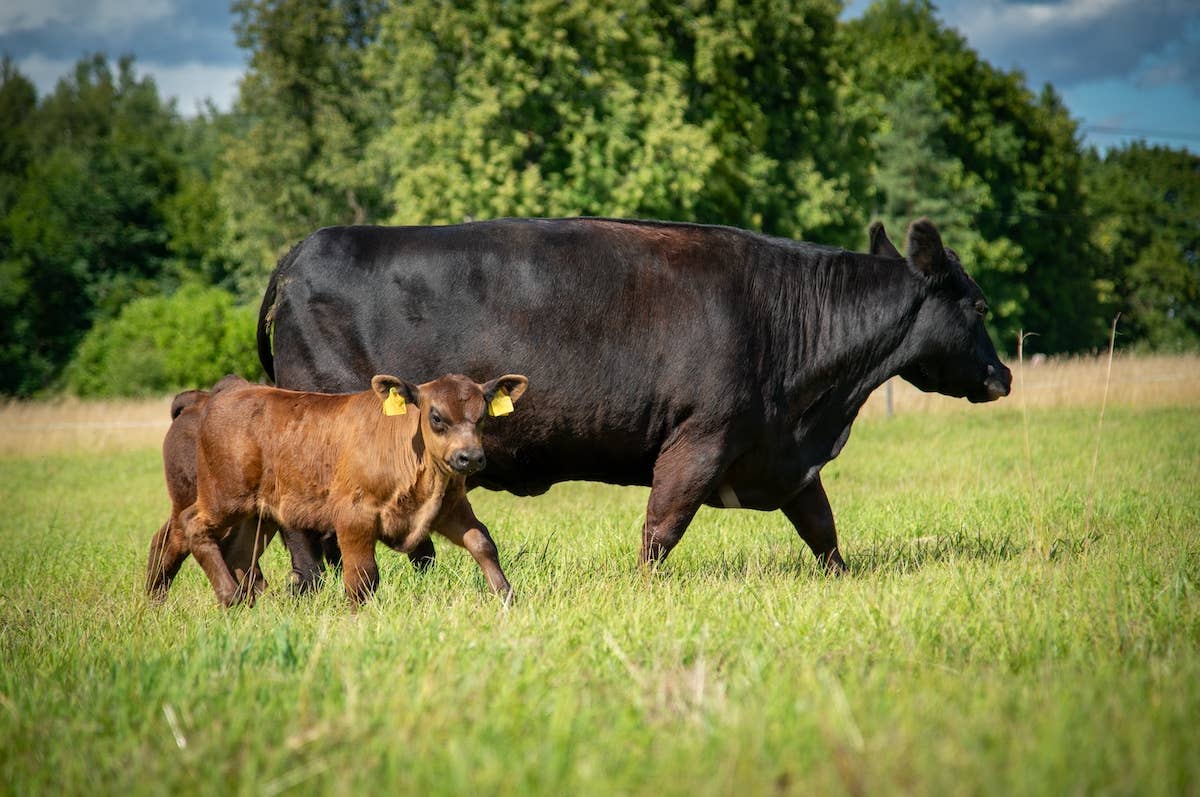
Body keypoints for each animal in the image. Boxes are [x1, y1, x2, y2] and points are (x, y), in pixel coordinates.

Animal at [181, 372, 528, 606]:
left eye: (481, 417)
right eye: (437, 417)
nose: (470, 457)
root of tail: (235, 388)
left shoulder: (451, 508)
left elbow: (482, 543)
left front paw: (507, 596)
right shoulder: (354, 515)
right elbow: (362, 576)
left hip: (259, 512)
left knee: (238, 553)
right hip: (223, 497)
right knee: (192, 525)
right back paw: (229, 597)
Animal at [257, 216, 1011, 574]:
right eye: (977, 304)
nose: (1003, 375)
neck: (822, 409)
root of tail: (297, 254)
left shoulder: (780, 453)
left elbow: (822, 530)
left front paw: (845, 580)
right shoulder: (702, 436)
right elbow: (661, 528)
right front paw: (642, 589)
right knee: (301, 526)